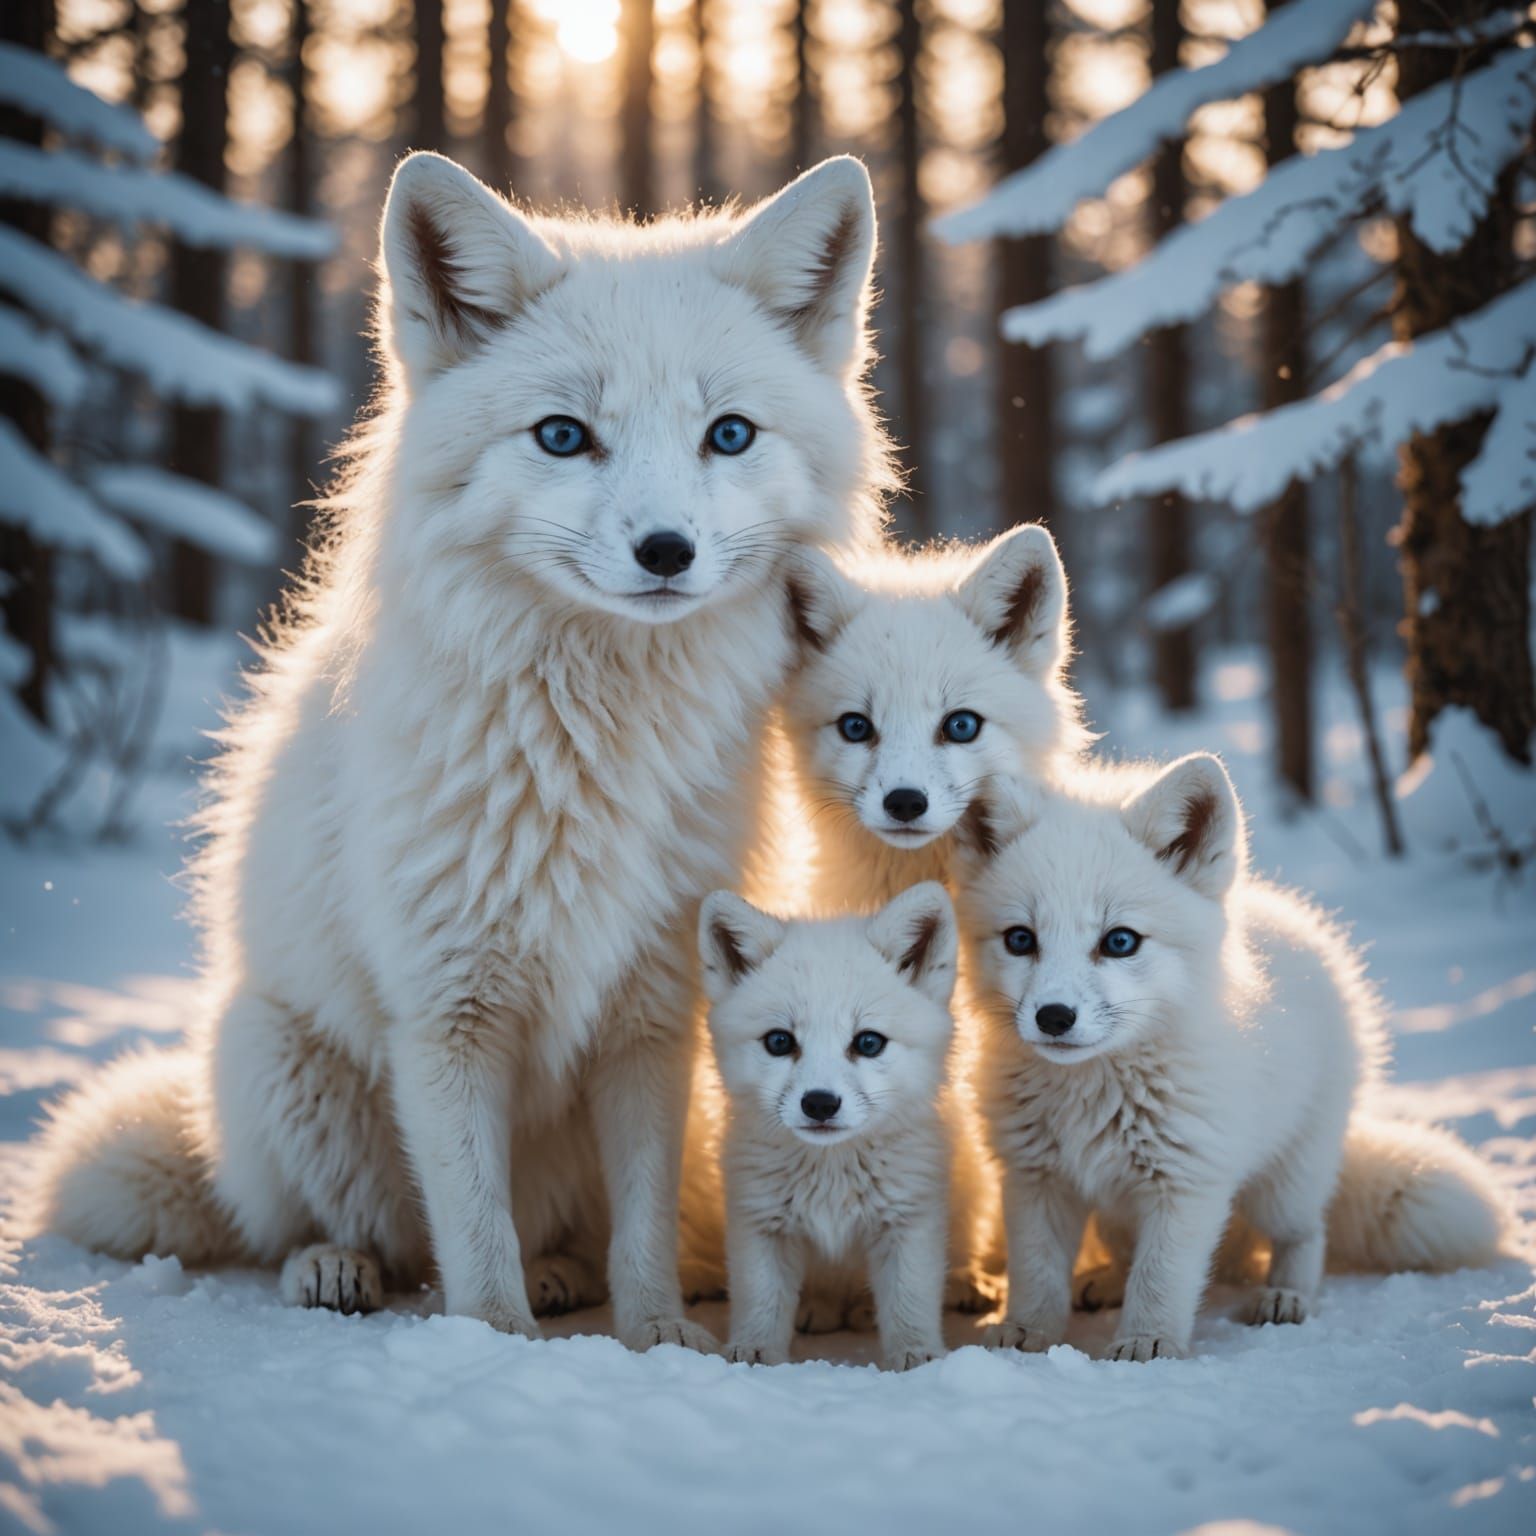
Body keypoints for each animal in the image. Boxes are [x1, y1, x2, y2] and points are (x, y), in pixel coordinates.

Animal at [33, 151, 894, 1351]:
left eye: (729, 434)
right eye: (563, 436)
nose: (665, 550)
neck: (594, 747)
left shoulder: (653, 1008)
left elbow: (641, 1226)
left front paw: (657, 1337)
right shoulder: (446, 1013)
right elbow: (473, 1238)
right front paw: (492, 1347)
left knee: (559, 1234)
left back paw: (562, 1276)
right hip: (282, 1068)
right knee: (357, 1235)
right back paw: (333, 1269)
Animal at [700, 882, 984, 1370]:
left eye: (868, 1043)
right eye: (780, 1041)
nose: (819, 1103)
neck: (831, 1172)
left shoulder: (909, 1220)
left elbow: (910, 1301)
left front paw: (917, 1355)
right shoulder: (761, 1221)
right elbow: (761, 1300)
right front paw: (754, 1350)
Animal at [956, 757, 1511, 1362]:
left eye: (1120, 941)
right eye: (1020, 939)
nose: (1054, 1017)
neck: (1091, 1092)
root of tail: (1301, 922)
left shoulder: (1188, 1181)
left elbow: (1160, 1277)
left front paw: (1146, 1343)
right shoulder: (1036, 1176)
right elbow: (1038, 1273)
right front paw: (1027, 1334)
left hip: (1284, 1187)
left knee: (1304, 1234)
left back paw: (1286, 1296)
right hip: (1121, 1207)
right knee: (1133, 1251)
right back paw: (1106, 1283)